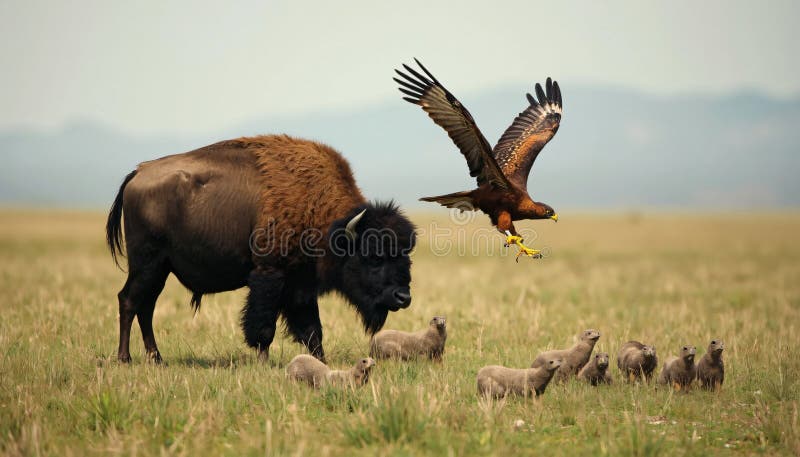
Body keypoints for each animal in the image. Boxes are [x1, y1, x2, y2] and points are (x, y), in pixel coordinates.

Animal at [106, 134, 416, 363]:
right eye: (373, 257)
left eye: (406, 257)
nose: (403, 297)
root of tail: (138, 173)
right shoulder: (270, 275)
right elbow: (265, 326)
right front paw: (263, 361)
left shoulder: (301, 284)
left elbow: (312, 329)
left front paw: (320, 361)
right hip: (147, 263)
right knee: (129, 301)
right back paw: (125, 358)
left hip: (161, 269)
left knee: (146, 306)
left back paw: (156, 358)